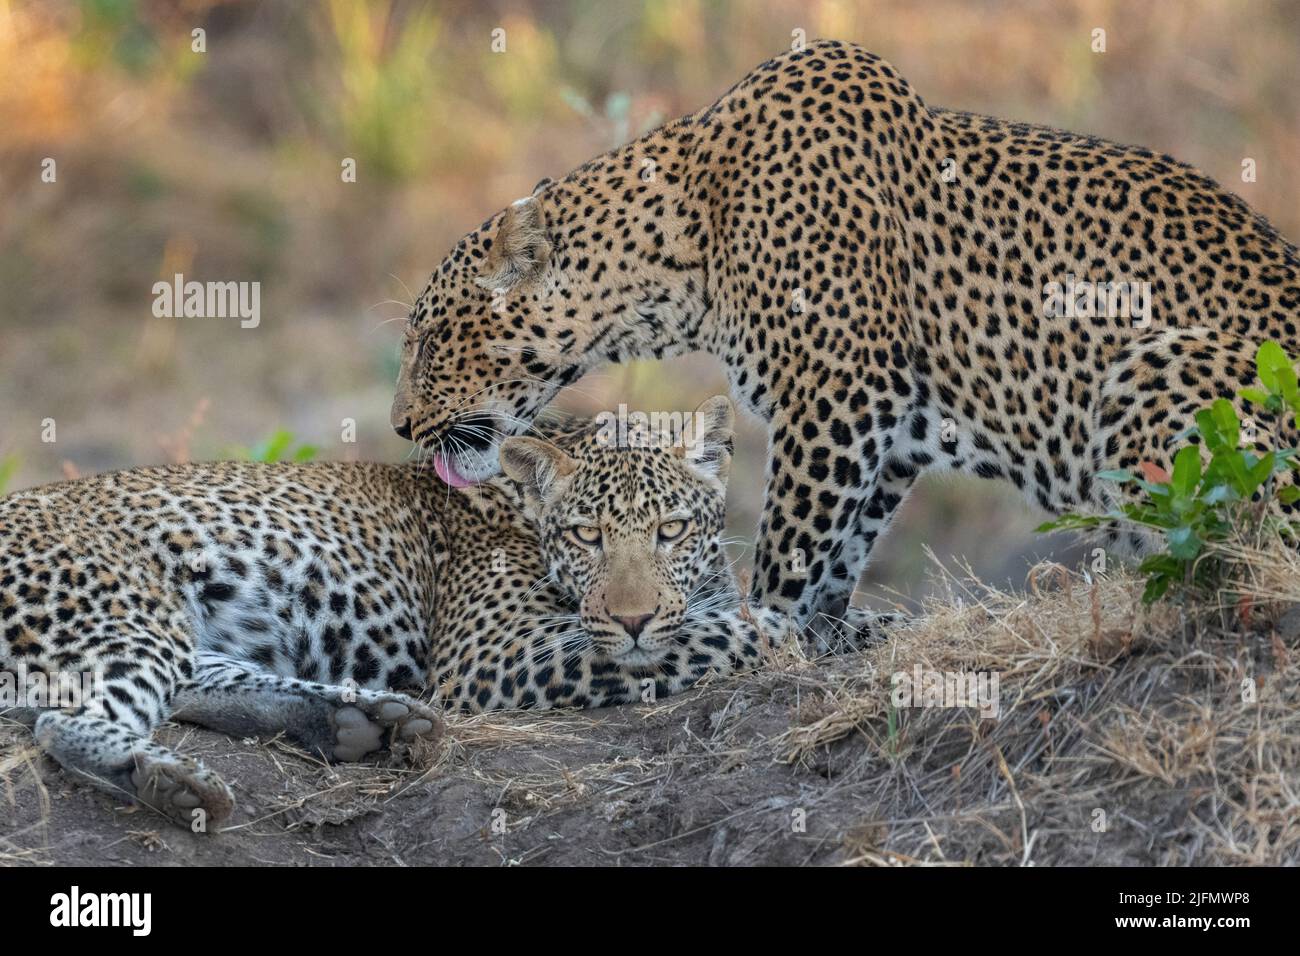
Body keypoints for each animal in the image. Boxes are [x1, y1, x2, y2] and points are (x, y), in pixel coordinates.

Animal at [0, 397, 783, 828]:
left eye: (671, 530)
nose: (633, 618)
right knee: (63, 720)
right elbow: (718, 639)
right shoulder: (494, 656)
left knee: (194, 686)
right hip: (123, 608)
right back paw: (171, 782)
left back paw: (363, 721)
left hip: (171, 630)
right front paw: (785, 626)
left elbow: (709, 624)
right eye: (588, 536)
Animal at [390, 39, 1299, 638]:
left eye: (431, 339)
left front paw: (754, 628)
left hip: (1158, 369)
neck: (686, 244)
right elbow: (839, 546)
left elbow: (788, 546)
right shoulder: (885, 429)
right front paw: (827, 629)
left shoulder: (839, 387)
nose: (398, 425)